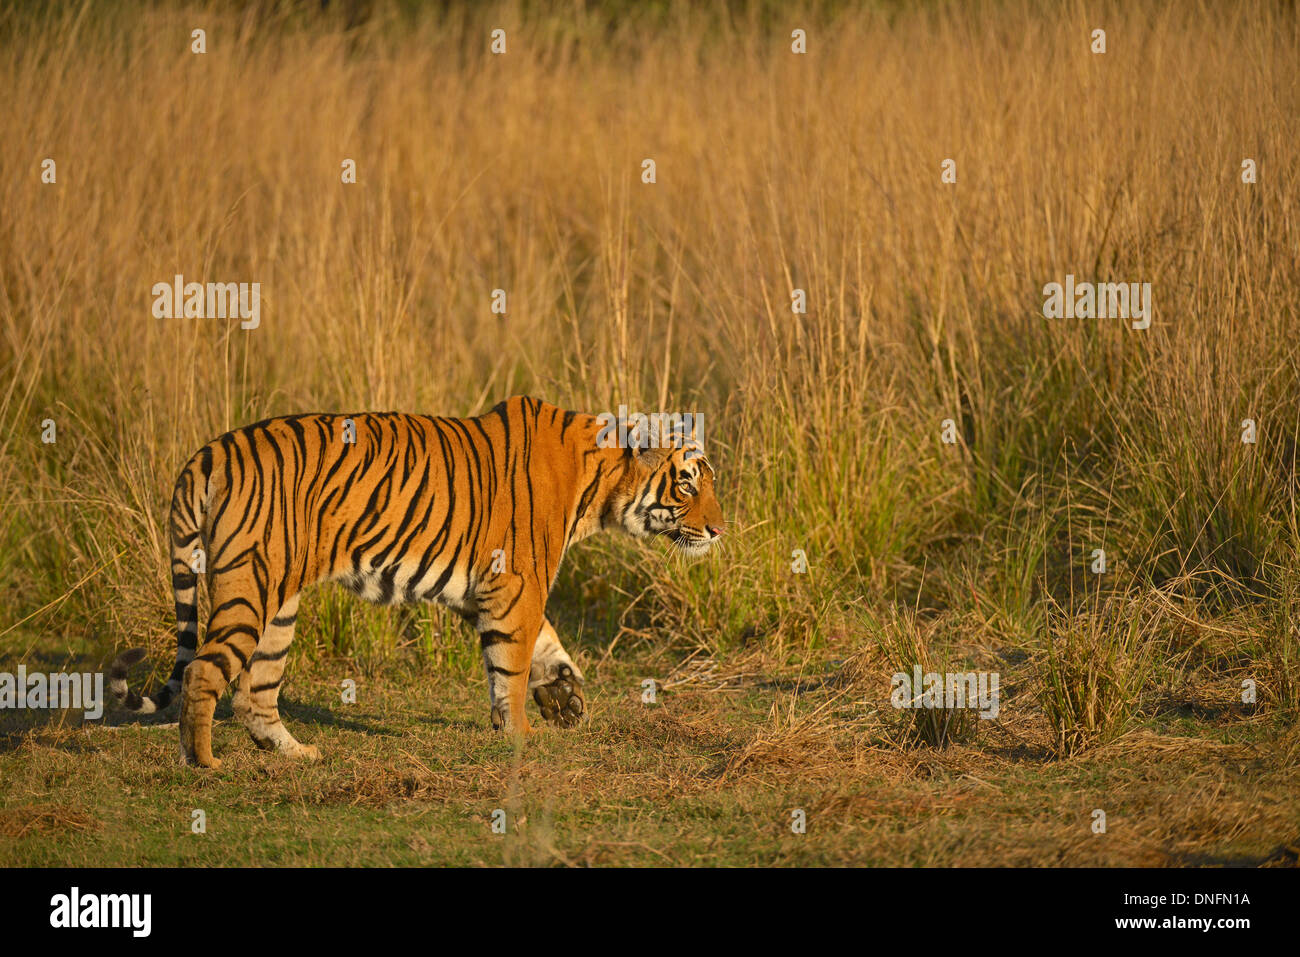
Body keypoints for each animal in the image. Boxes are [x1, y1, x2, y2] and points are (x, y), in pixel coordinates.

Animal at [109, 395, 724, 768]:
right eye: (687, 484)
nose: (719, 529)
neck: (600, 486)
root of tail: (208, 450)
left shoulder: (485, 591)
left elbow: (542, 643)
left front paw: (564, 695)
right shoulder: (516, 584)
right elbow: (512, 663)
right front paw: (523, 732)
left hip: (278, 603)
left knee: (255, 691)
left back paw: (297, 753)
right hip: (249, 587)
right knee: (204, 672)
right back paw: (204, 763)